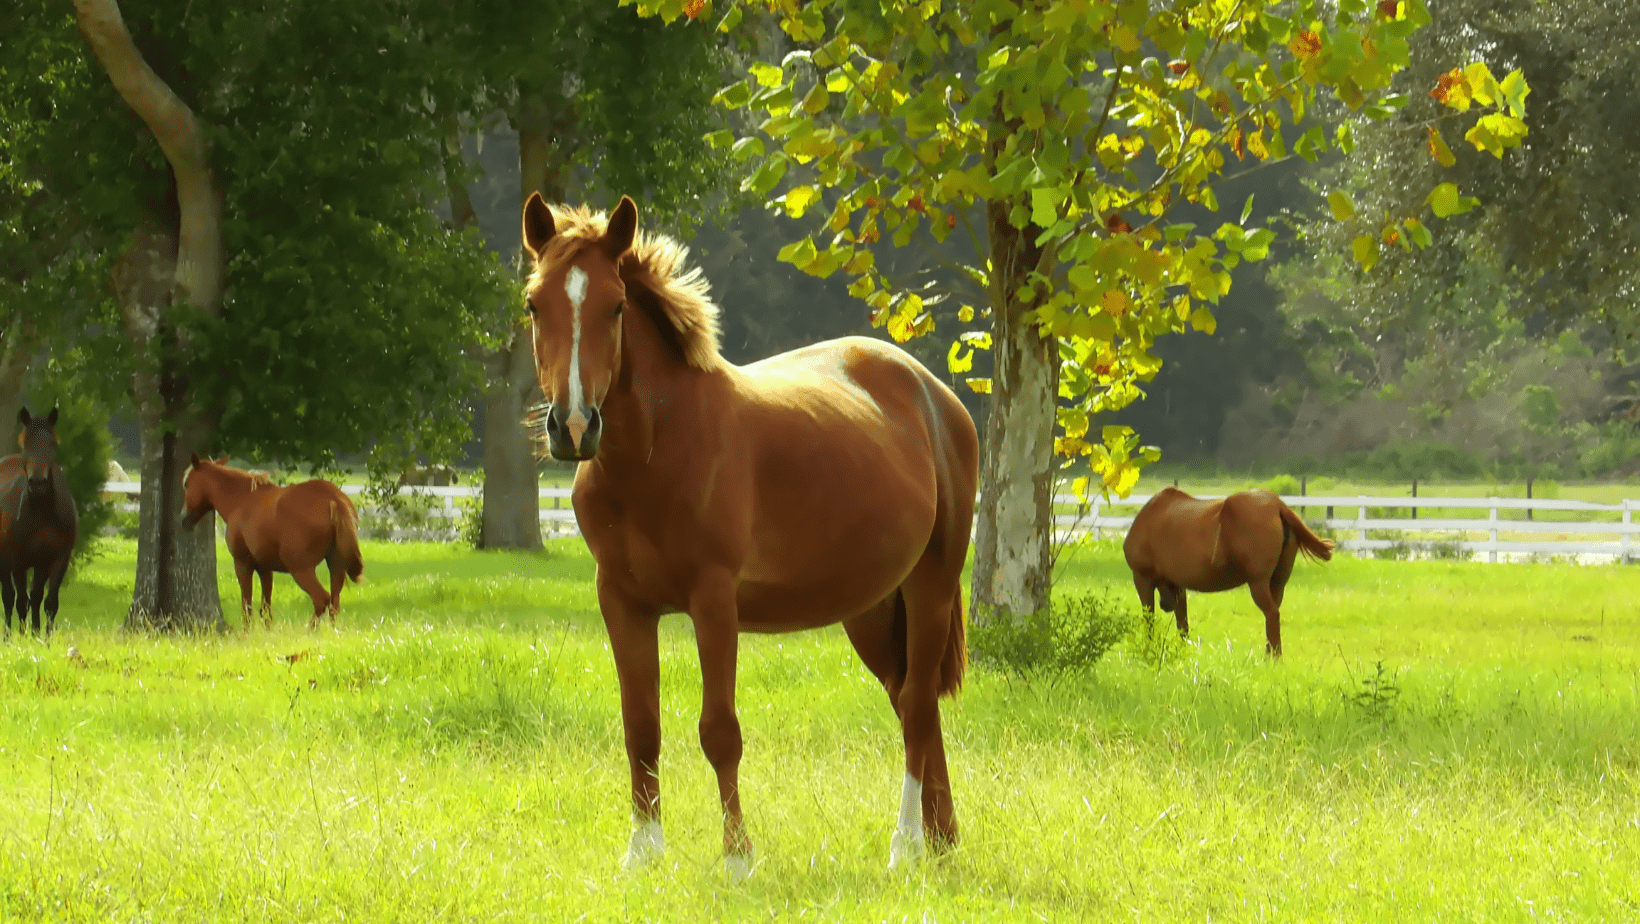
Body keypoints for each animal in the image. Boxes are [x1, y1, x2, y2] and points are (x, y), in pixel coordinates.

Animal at [0, 407, 79, 636]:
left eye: (53, 442)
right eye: (25, 442)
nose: (38, 483)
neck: (43, 511)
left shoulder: (58, 559)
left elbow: (49, 602)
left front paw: (43, 637)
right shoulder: (17, 560)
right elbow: (20, 601)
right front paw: (22, 636)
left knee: (34, 597)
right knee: (9, 597)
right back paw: (8, 636)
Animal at [179, 454, 364, 629]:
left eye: (186, 484)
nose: (183, 520)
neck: (241, 501)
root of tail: (335, 500)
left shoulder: (242, 563)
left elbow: (247, 608)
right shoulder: (265, 568)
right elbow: (265, 608)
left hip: (301, 569)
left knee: (321, 599)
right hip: (336, 565)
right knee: (334, 604)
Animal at [520, 192, 978, 875]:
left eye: (616, 306)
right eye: (533, 303)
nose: (573, 427)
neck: (656, 453)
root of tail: (937, 397)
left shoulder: (714, 601)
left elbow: (719, 731)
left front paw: (737, 857)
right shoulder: (621, 602)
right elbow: (641, 726)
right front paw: (643, 853)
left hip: (931, 586)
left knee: (920, 705)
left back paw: (906, 846)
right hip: (871, 609)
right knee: (910, 709)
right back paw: (942, 840)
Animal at [1123, 486, 1333, 657]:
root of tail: (1278, 506)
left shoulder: (1142, 579)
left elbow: (1149, 620)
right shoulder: (1178, 586)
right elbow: (1183, 625)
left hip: (1258, 583)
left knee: (1272, 614)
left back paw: (1274, 658)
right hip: (1277, 583)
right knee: (1273, 614)